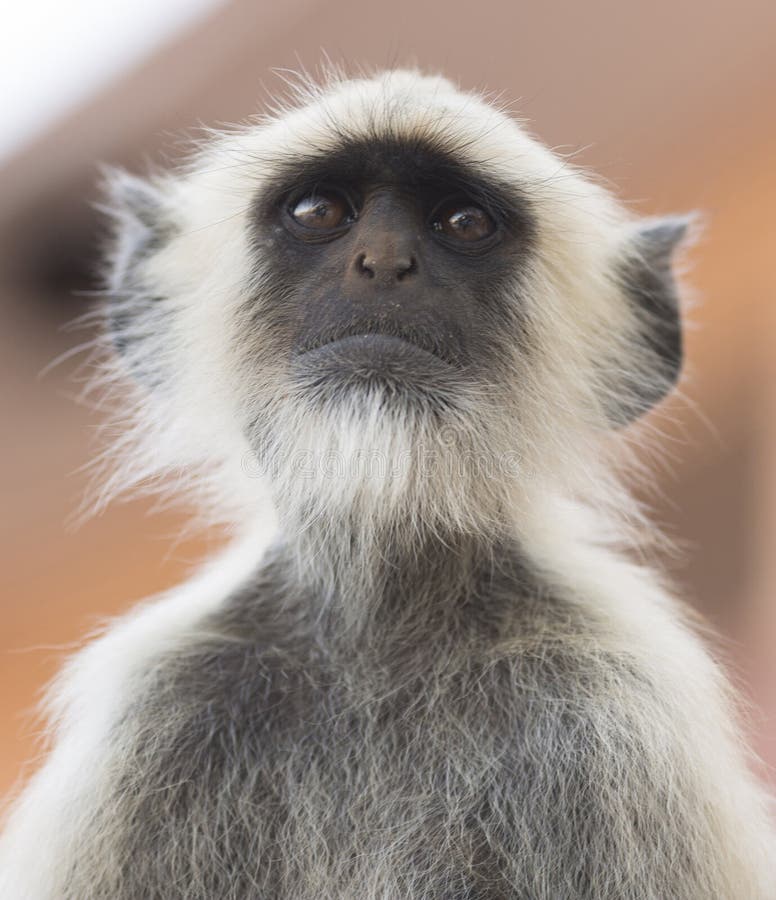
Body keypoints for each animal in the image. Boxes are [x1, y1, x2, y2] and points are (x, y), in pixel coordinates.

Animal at [1, 68, 774, 899]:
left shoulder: (624, 722)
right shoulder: (153, 710)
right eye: (319, 212)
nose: (383, 262)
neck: (376, 640)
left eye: (463, 222)